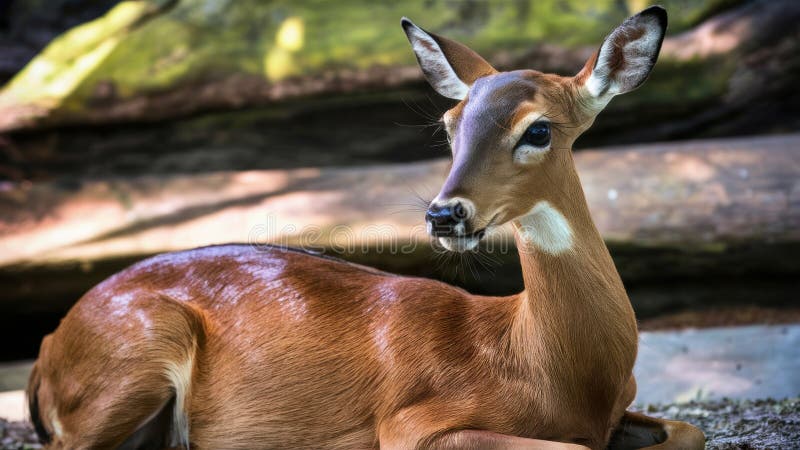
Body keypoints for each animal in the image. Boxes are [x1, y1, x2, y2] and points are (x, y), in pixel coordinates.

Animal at [27, 6, 705, 450]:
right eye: (450, 124)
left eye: (538, 129)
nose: (444, 213)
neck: (545, 369)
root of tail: (48, 348)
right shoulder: (408, 423)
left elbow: (689, 431)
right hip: (137, 355)